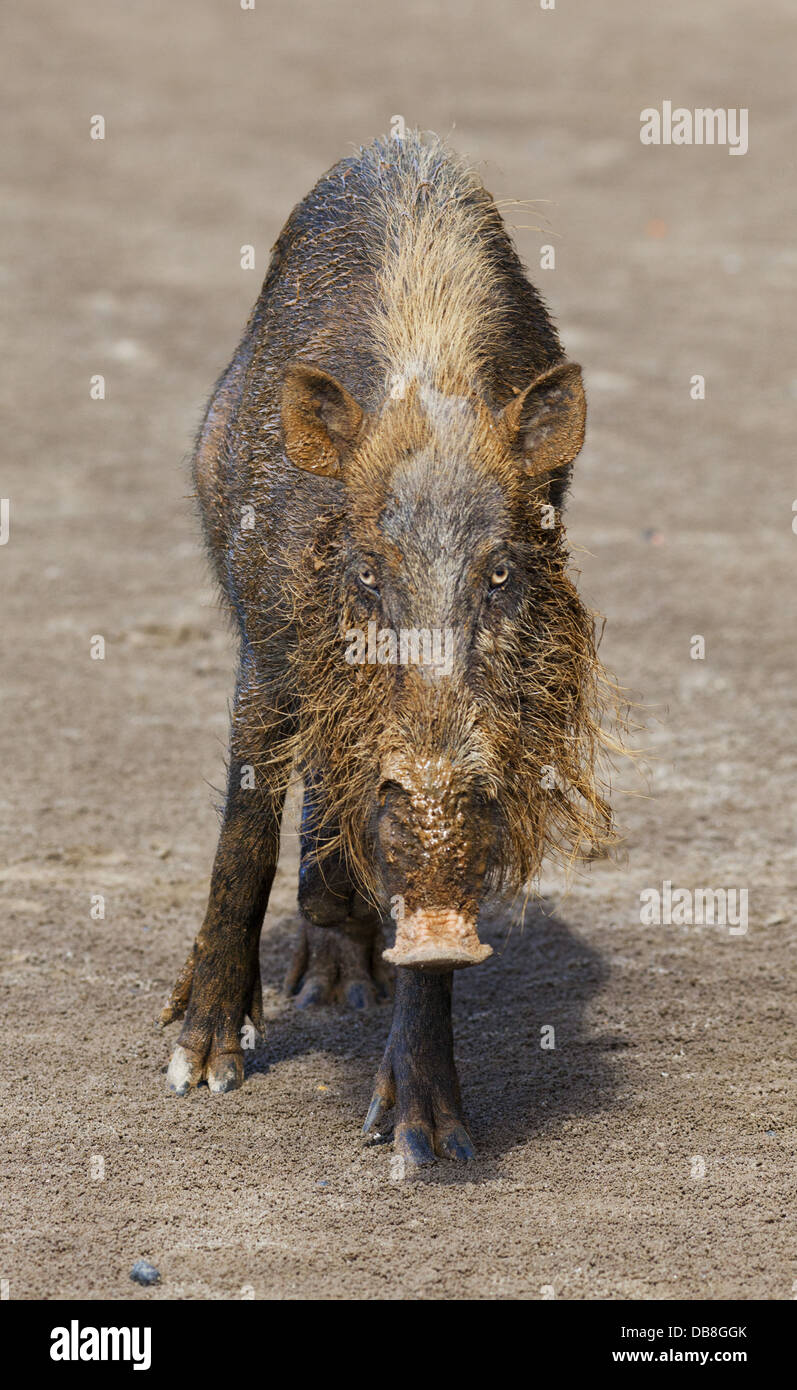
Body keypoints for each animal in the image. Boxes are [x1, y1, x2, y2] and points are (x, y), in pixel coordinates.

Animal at [161, 130, 617, 1165]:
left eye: (502, 573)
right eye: (368, 571)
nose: (435, 780)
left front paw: (429, 1144)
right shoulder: (270, 645)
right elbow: (243, 827)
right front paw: (200, 1069)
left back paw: (344, 986)